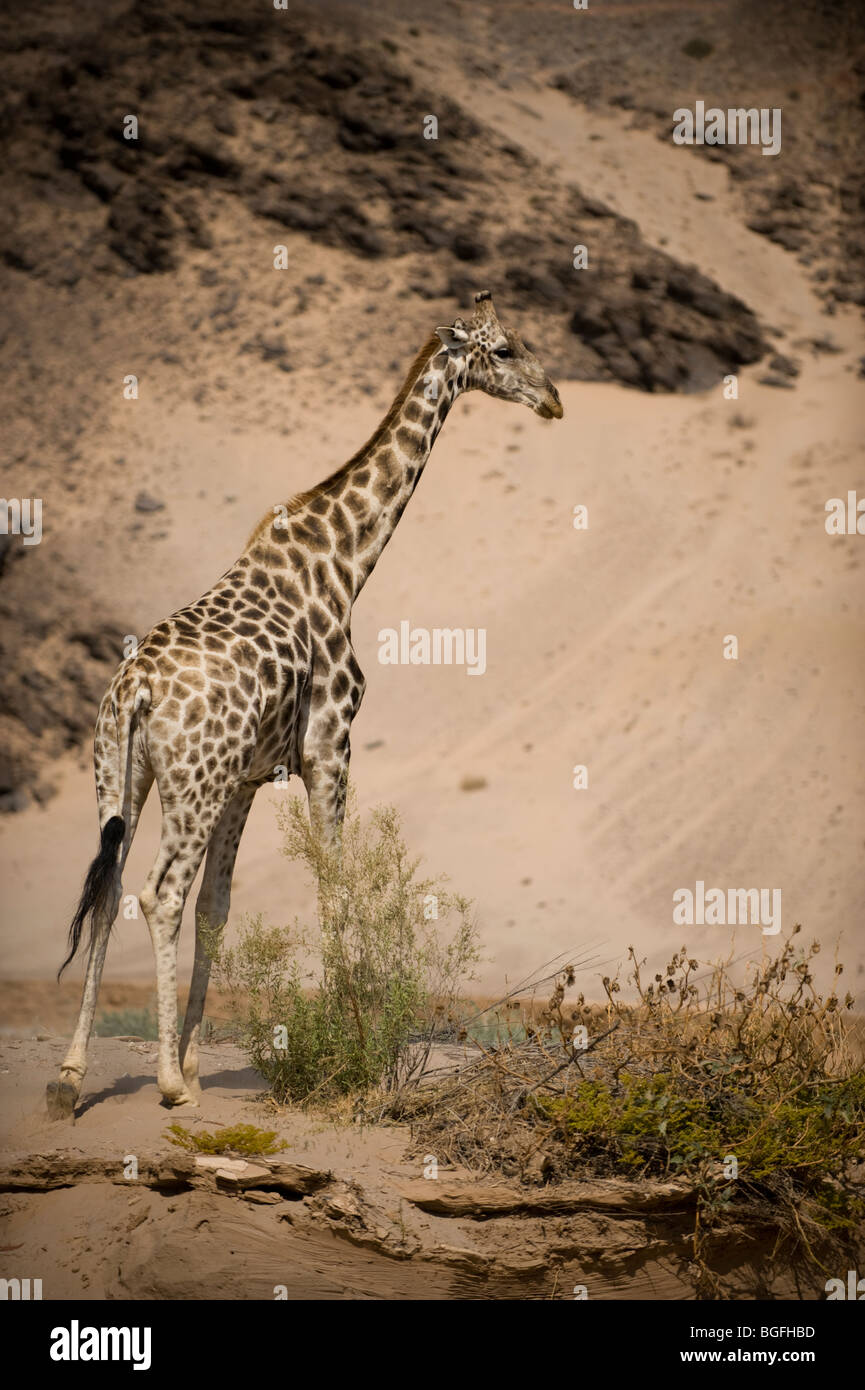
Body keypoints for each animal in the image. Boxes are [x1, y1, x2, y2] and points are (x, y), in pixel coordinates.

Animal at [46, 290, 563, 1118]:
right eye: (508, 348)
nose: (553, 399)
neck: (346, 558)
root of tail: (138, 691)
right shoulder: (330, 746)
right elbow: (335, 891)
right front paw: (350, 1054)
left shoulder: (247, 779)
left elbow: (219, 908)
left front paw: (198, 1062)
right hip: (189, 785)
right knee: (157, 894)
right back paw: (164, 1088)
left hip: (122, 777)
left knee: (113, 887)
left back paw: (70, 1078)